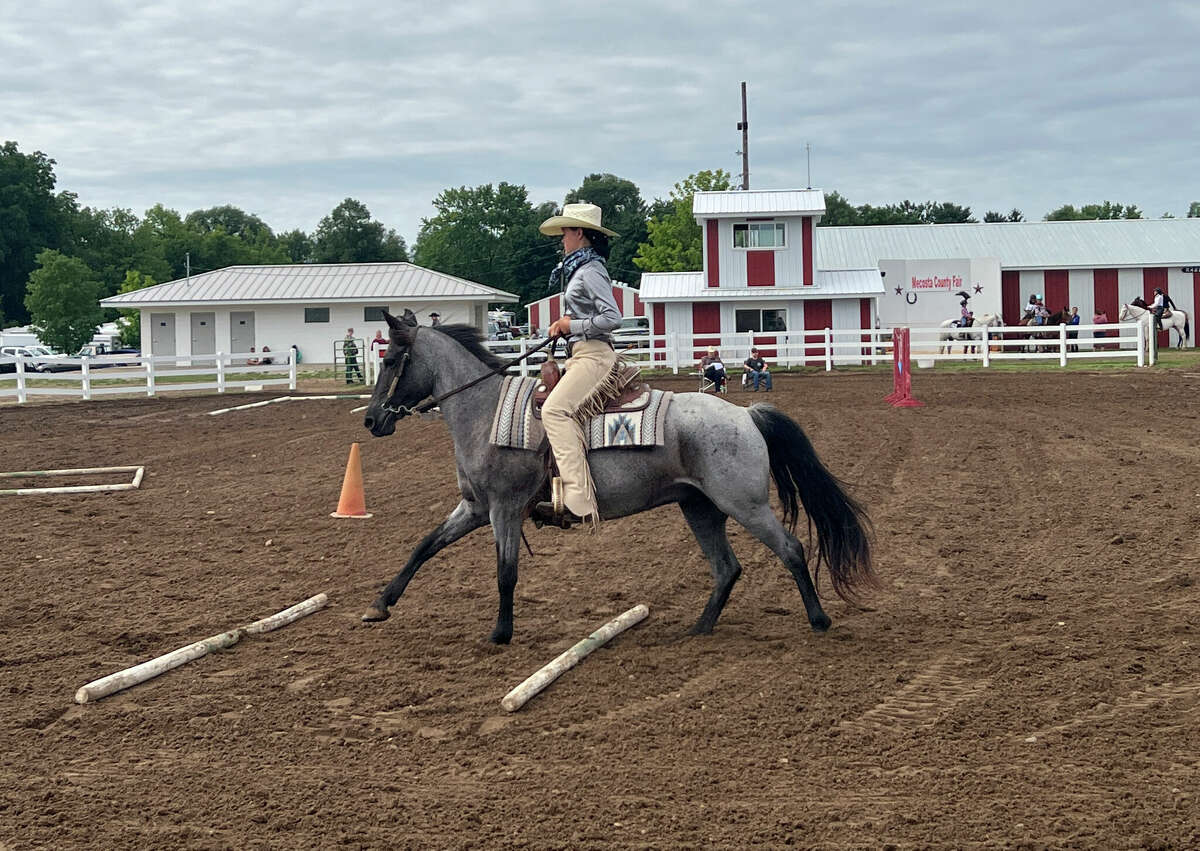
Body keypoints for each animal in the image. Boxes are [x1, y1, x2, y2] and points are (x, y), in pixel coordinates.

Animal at [360, 310, 875, 644]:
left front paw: (500, 634)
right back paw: (697, 629)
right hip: (700, 508)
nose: (370, 420)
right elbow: (424, 546)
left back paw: (819, 620)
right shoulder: (474, 508)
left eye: (389, 361)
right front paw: (380, 604)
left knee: (790, 549)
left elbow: (506, 572)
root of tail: (746, 414)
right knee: (727, 567)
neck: (485, 412)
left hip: (744, 505)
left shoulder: (504, 509)